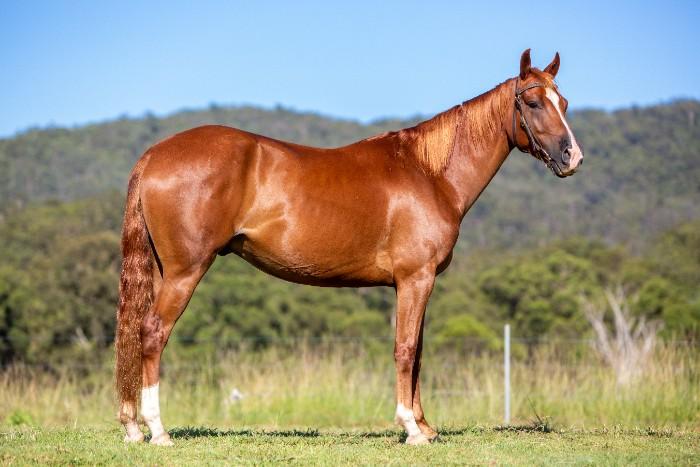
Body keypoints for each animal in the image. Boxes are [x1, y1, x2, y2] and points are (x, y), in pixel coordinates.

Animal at [115, 49, 583, 446]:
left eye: (563, 102)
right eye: (534, 103)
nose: (573, 157)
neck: (429, 173)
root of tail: (154, 154)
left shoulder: (418, 283)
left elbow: (418, 352)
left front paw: (425, 426)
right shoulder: (415, 279)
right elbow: (405, 349)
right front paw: (411, 428)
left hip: (166, 270)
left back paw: (133, 427)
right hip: (185, 271)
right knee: (153, 333)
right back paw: (158, 431)